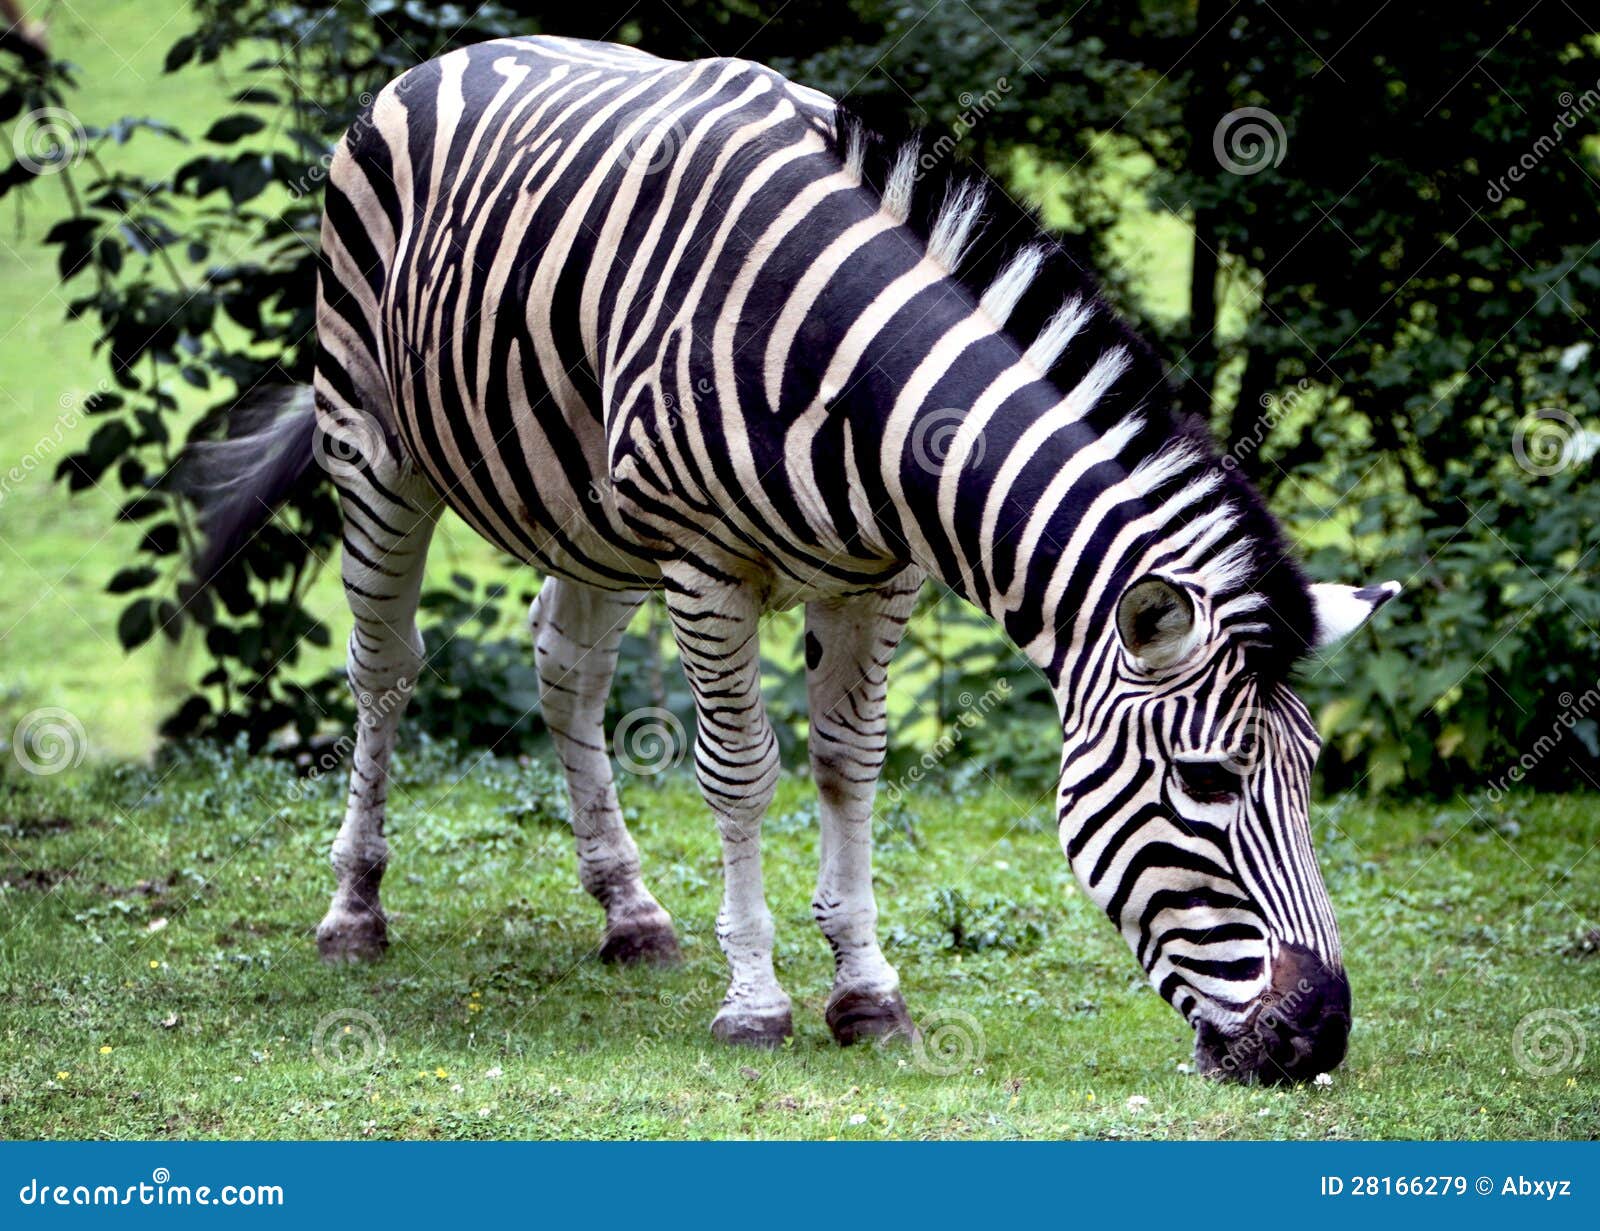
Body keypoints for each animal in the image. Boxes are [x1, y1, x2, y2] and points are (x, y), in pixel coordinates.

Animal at [194, 35, 1398, 1083]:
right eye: (1208, 780)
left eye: (1310, 772)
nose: (1319, 1037)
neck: (859, 381)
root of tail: (462, 50)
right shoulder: (704, 564)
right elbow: (739, 771)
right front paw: (756, 1003)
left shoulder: (881, 580)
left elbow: (849, 764)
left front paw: (866, 993)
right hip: (374, 448)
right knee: (384, 670)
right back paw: (355, 911)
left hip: (587, 509)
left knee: (565, 669)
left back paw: (629, 910)